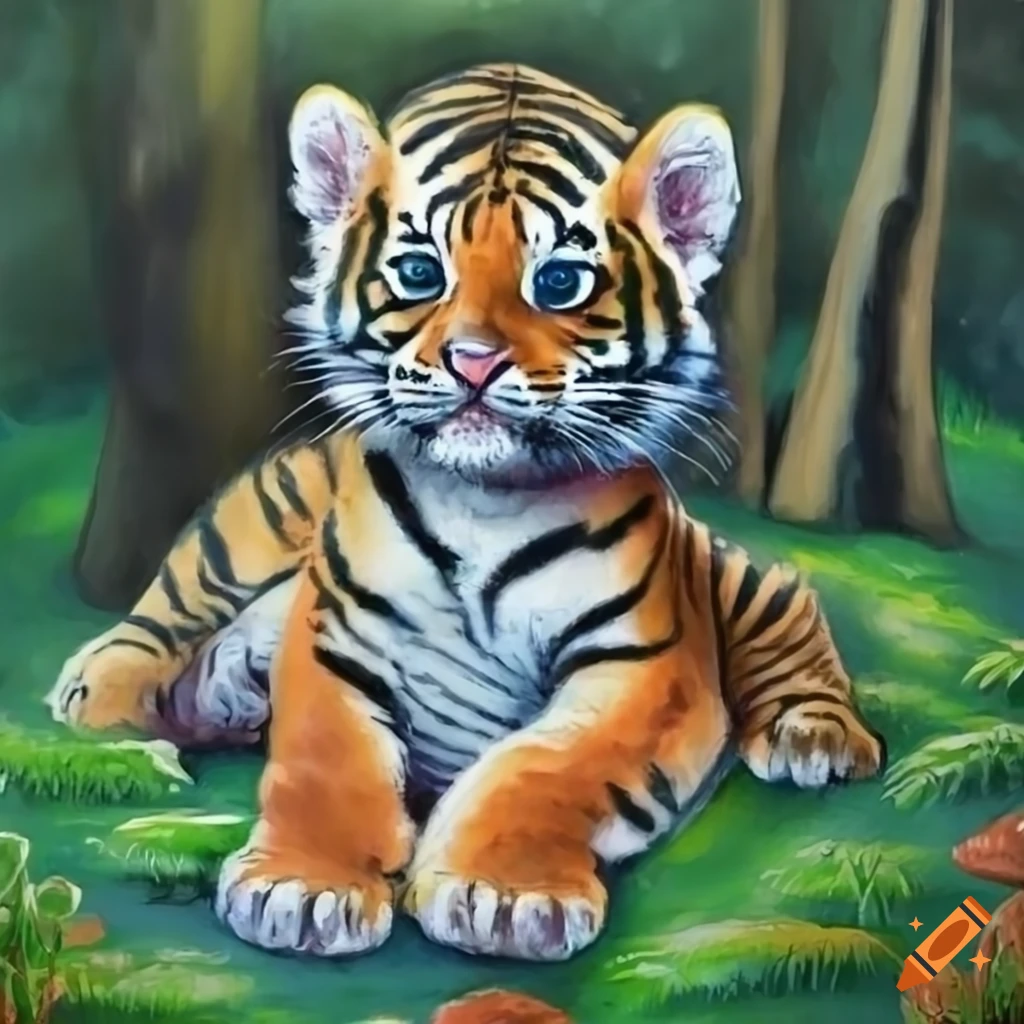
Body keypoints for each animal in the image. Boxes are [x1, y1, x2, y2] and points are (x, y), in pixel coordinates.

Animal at [46, 63, 885, 964]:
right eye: (420, 273)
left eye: (559, 282)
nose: (473, 362)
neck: (485, 503)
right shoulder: (338, 636)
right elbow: (328, 759)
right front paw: (303, 888)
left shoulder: (643, 663)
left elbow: (542, 768)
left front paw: (502, 896)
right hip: (263, 511)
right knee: (173, 599)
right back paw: (117, 690)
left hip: (727, 575)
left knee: (791, 599)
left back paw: (816, 732)